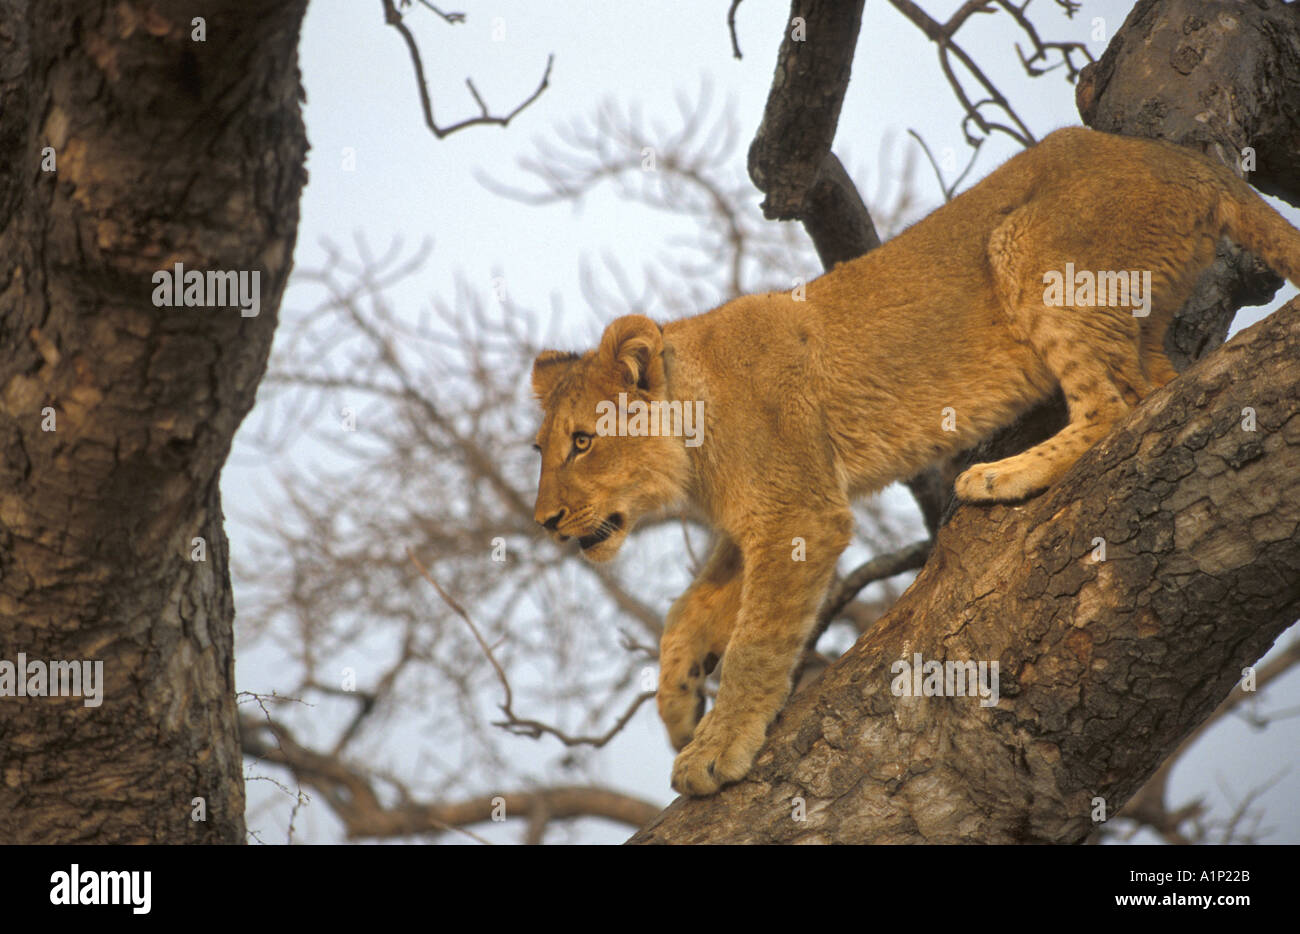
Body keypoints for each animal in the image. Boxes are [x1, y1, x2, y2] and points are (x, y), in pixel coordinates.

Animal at [529, 126, 1300, 796]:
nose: (543, 521)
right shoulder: (761, 519)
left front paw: (715, 750)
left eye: (583, 442)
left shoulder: (799, 513)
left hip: (1027, 245)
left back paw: (1000, 474)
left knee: (1117, 404)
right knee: (1159, 385)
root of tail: (1191, 164)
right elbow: (690, 606)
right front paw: (678, 703)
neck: (694, 440)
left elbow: (755, 643)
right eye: (541, 449)